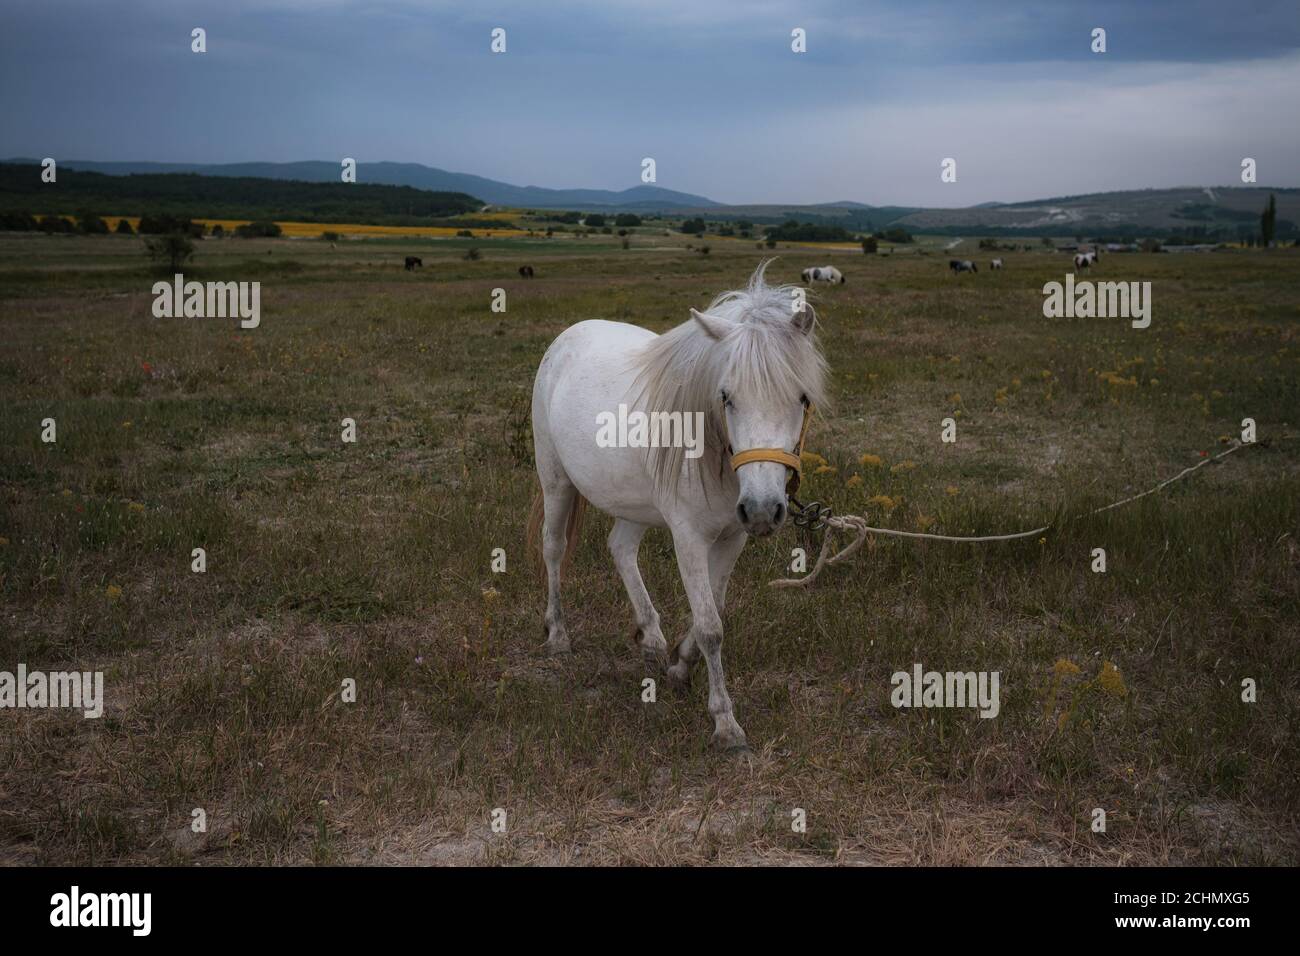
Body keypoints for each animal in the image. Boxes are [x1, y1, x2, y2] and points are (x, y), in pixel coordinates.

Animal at [528, 262, 829, 750]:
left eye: (802, 398)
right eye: (726, 397)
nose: (764, 509)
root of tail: (570, 334)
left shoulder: (733, 535)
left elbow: (713, 609)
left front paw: (679, 663)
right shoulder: (688, 536)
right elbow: (710, 626)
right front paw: (725, 722)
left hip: (633, 502)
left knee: (621, 548)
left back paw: (650, 636)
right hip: (556, 481)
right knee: (553, 548)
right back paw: (557, 634)